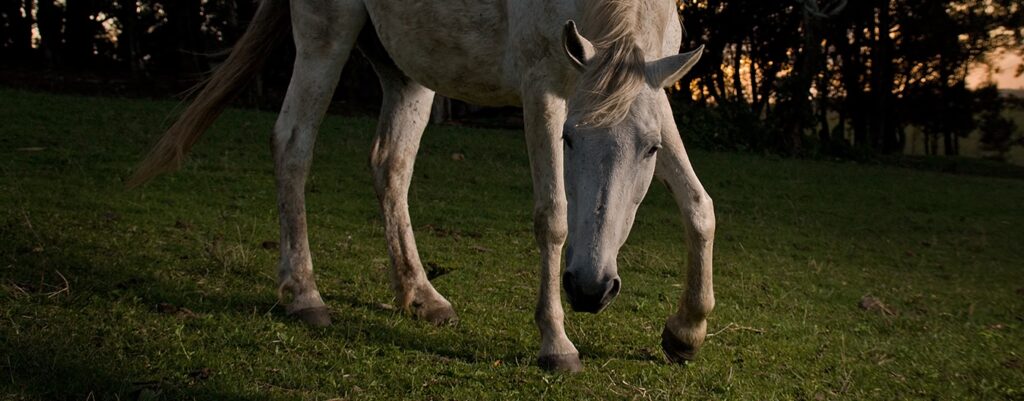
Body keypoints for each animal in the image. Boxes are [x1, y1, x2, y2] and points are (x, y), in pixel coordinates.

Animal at [128, 0, 716, 372]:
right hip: (325, 35)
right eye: (568, 138)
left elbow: (699, 206)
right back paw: (304, 294)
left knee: (390, 166)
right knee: (292, 144)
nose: (590, 290)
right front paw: (556, 343)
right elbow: (552, 215)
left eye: (650, 150)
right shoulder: (543, 90)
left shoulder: (655, 97)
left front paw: (686, 333)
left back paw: (421, 296)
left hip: (405, 67)